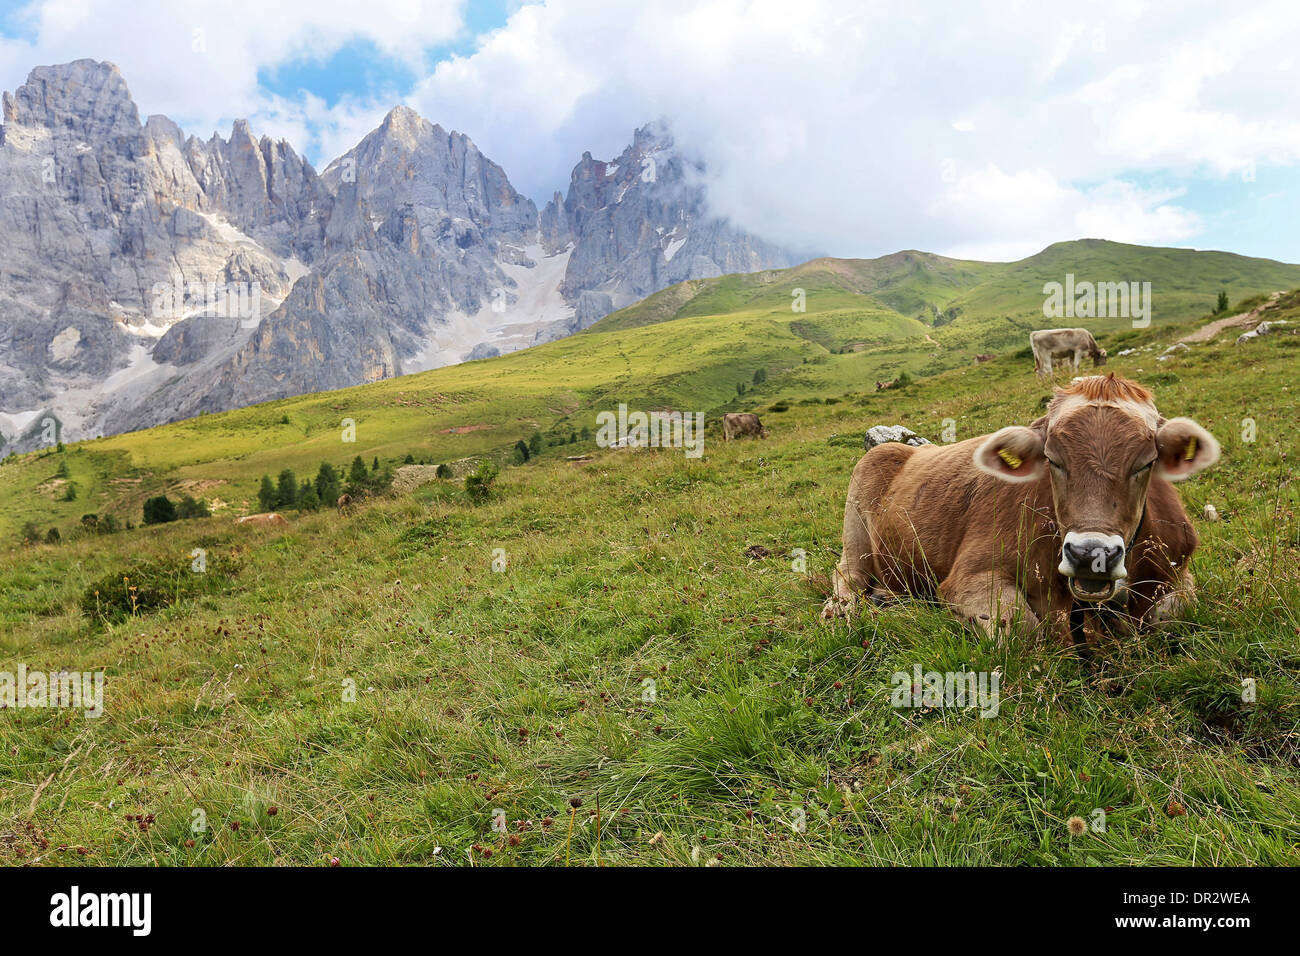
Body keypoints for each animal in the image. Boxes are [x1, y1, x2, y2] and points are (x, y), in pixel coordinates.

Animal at [821, 374, 1219, 651]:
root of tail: (901, 449)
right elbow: (1023, 630)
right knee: (846, 574)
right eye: (1052, 459)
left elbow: (1172, 614)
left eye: (1146, 463)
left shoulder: (1177, 572)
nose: (1091, 555)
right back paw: (839, 611)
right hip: (856, 533)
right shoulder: (970, 576)